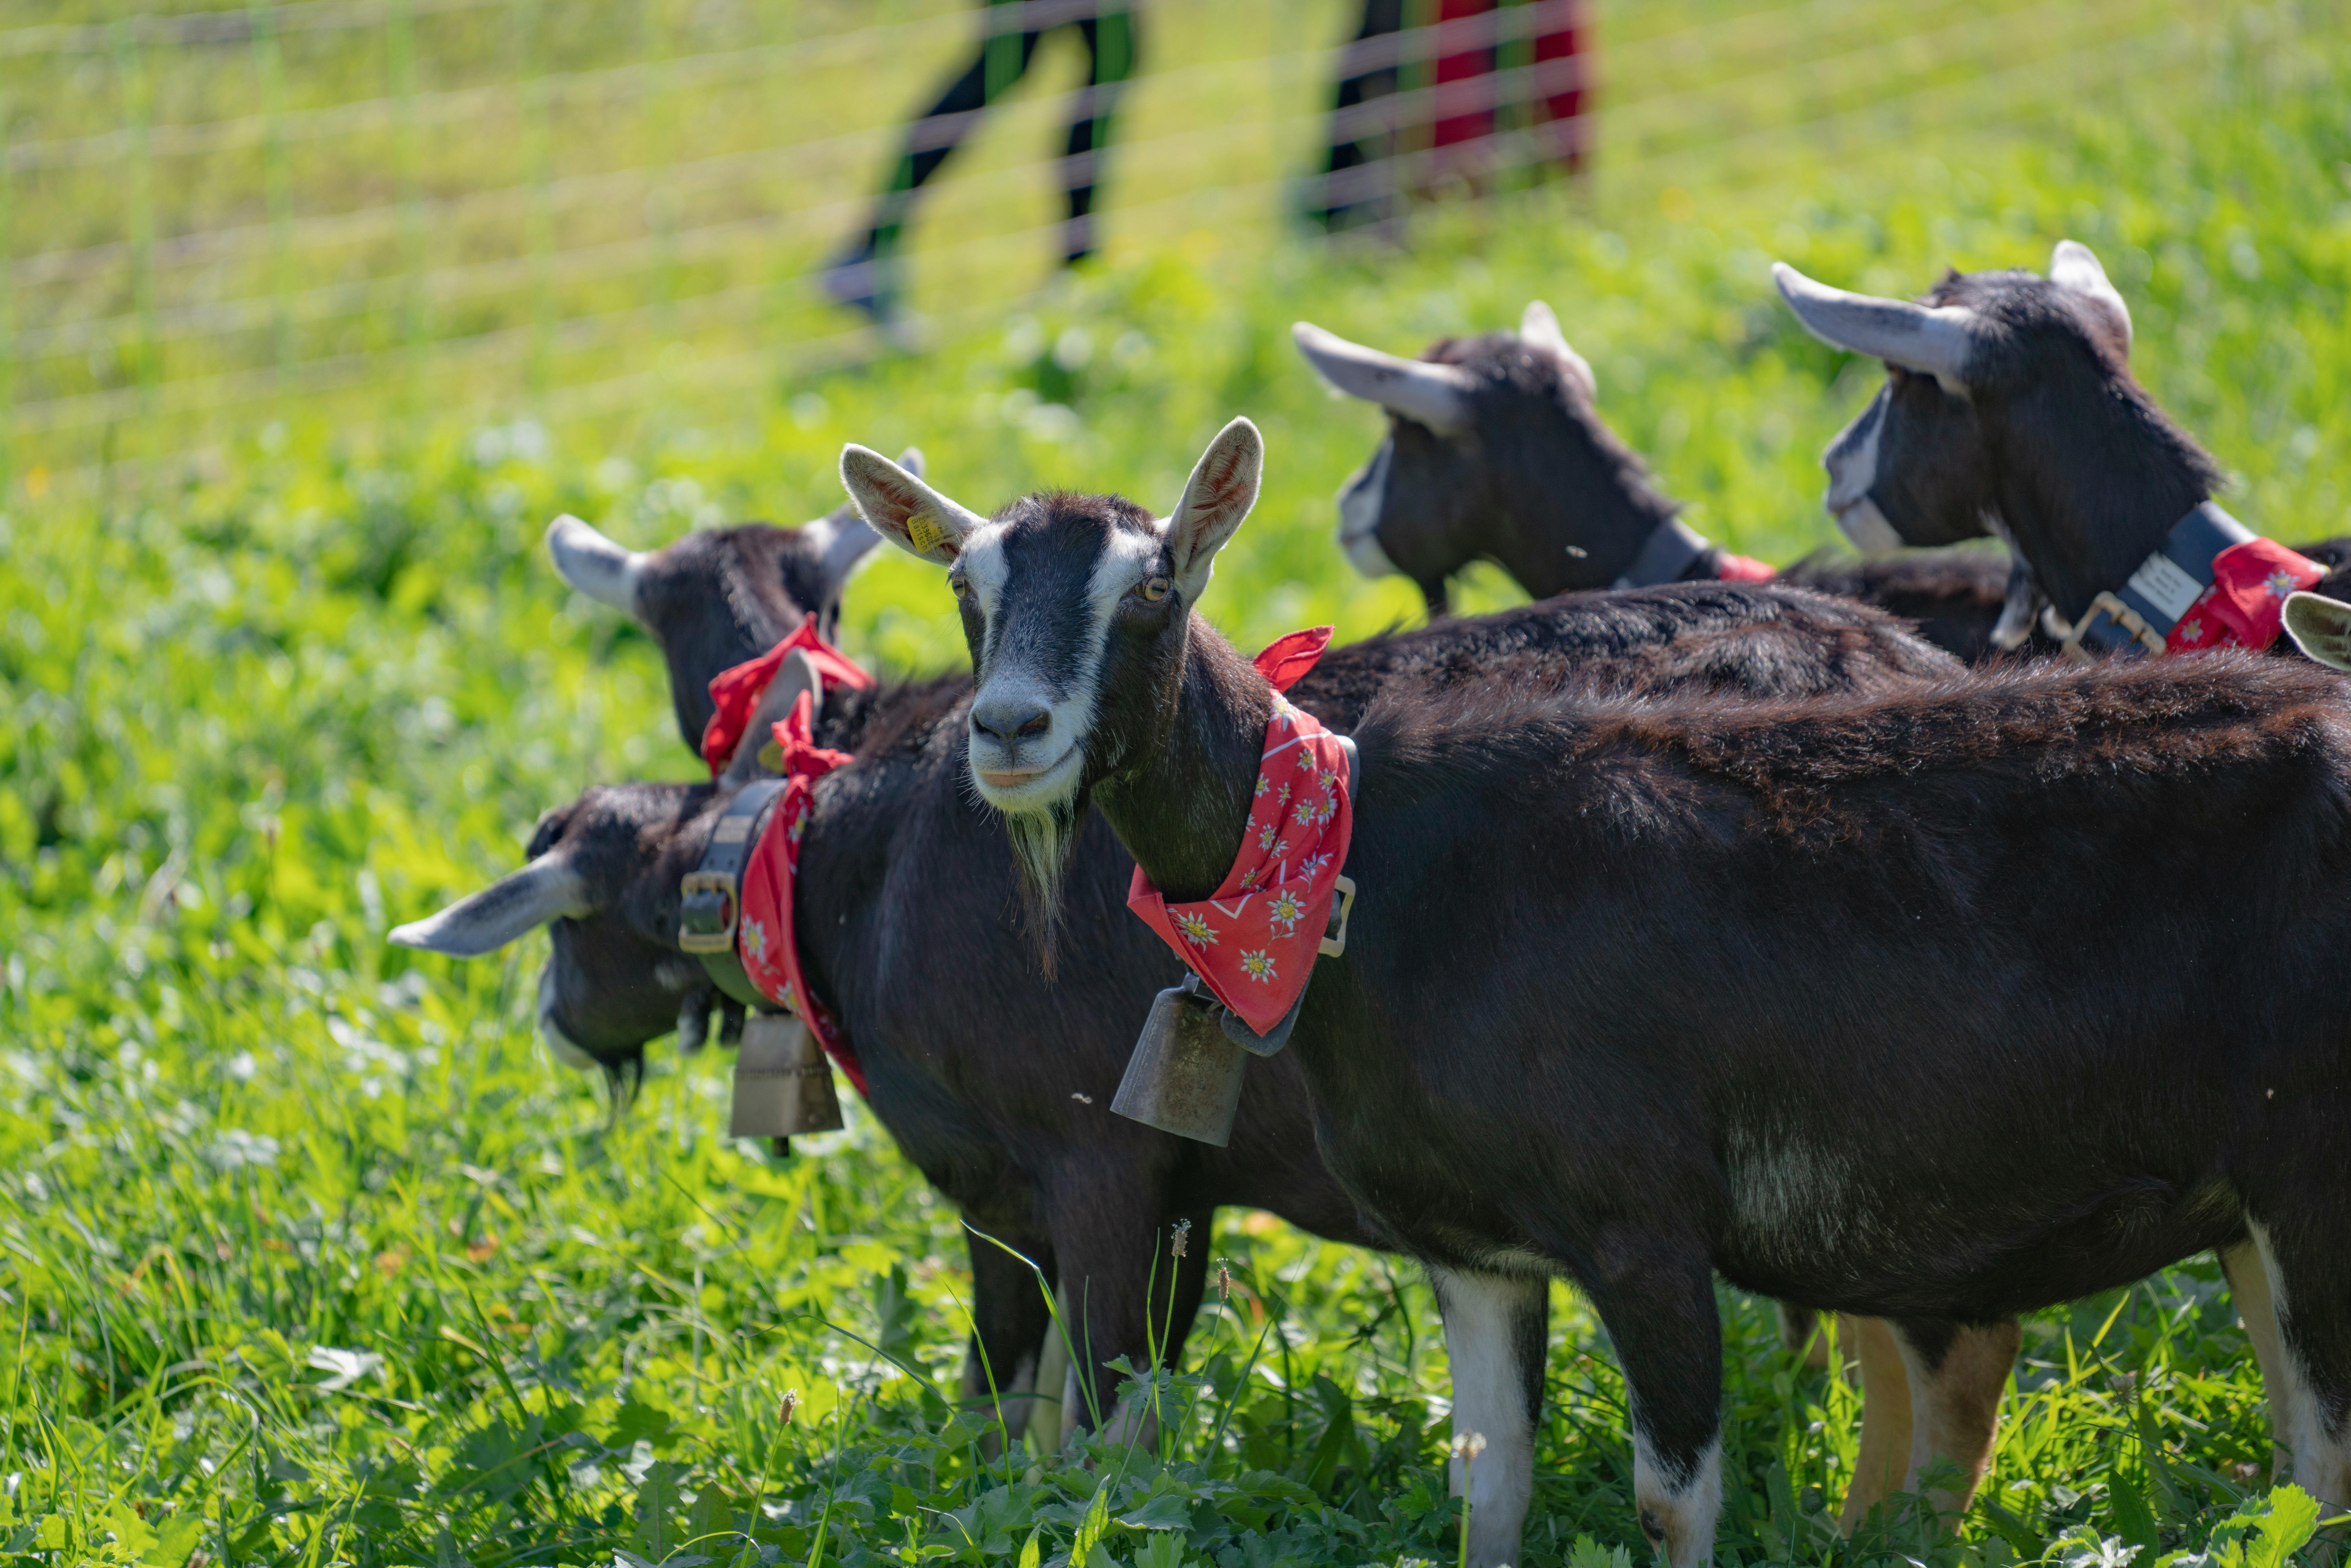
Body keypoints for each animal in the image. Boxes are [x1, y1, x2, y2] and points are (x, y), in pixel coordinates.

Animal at [394, 502, 1961, 1479]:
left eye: (560, 933)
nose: (553, 1020)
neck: (827, 847)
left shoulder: (1066, 1164)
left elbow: (1044, 1386)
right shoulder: (1173, 1184)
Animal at [842, 419, 2350, 1568]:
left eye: (1156, 586)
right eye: (967, 589)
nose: (1011, 731)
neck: (1359, 865)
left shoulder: (1645, 1228)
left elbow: (1668, 1506)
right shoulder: (1472, 1247)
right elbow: (1486, 1494)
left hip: (2310, 1172)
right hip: (2244, 1200)